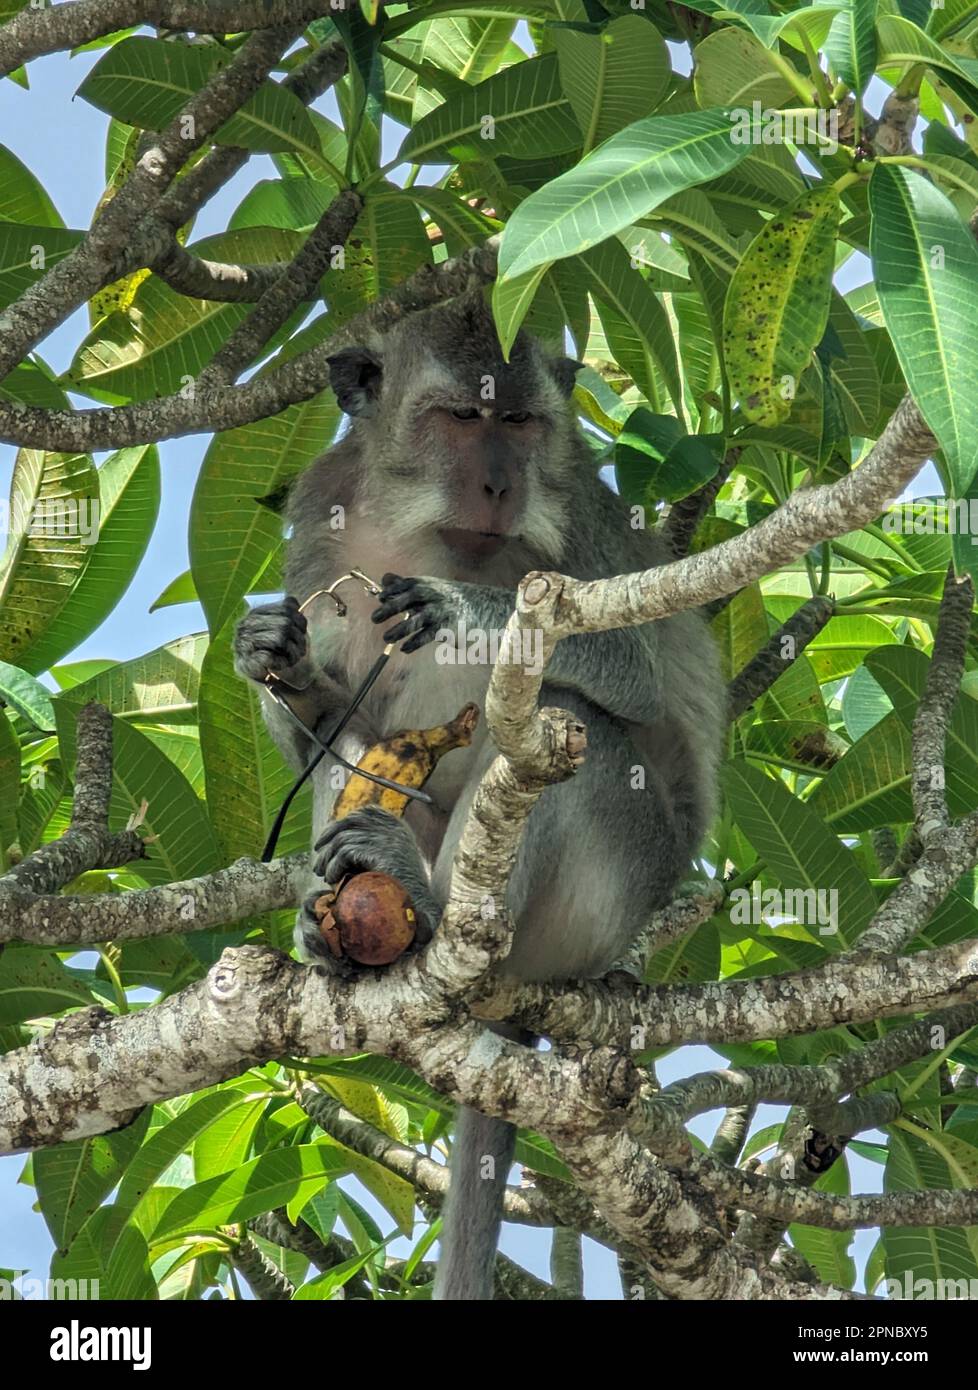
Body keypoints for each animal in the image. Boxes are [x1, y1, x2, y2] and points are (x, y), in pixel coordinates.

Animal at [233, 289, 724, 1300]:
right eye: (462, 418)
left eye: (523, 423)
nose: (499, 486)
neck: (430, 529)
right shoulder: (318, 513)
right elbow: (330, 722)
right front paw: (278, 660)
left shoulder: (582, 523)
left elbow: (630, 672)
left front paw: (461, 609)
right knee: (362, 754)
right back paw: (337, 922)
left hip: (605, 900)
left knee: (578, 723)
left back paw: (429, 911)